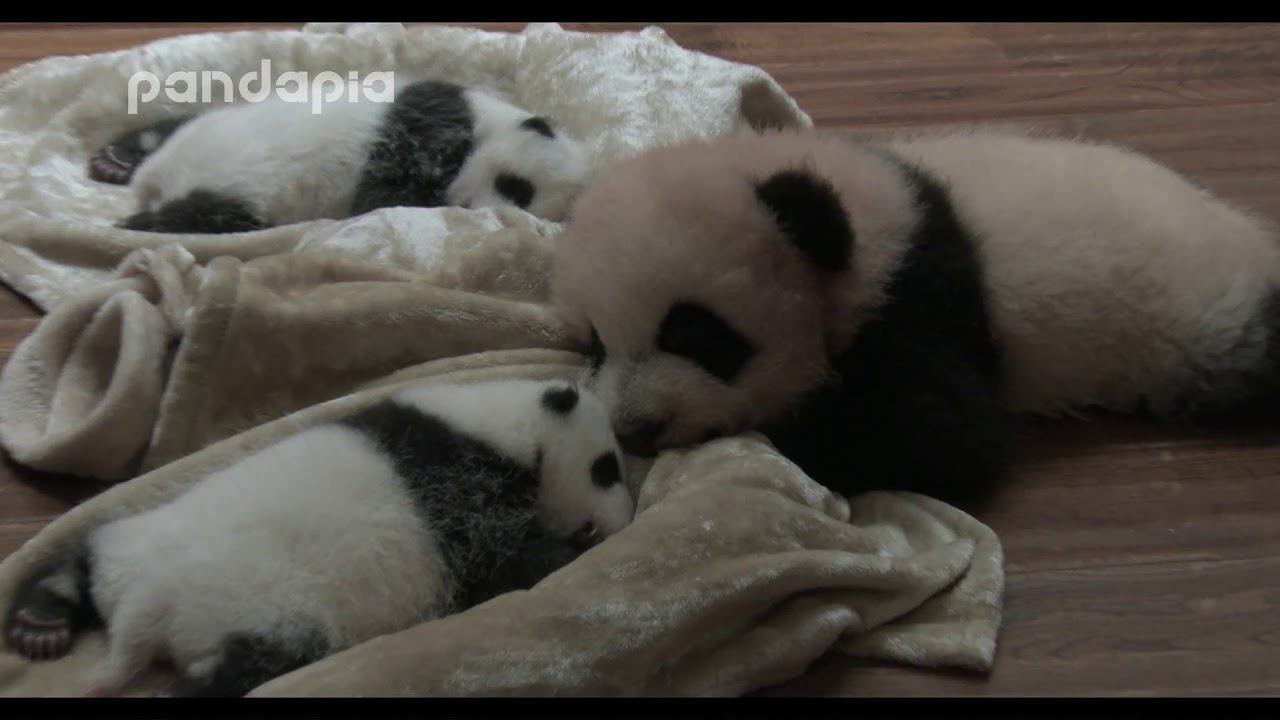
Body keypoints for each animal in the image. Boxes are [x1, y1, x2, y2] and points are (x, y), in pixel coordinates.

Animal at [2, 378, 634, 697]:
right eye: (607, 467)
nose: (625, 516)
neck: (500, 422)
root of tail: (148, 604)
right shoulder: (461, 485)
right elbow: (497, 559)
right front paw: (567, 550)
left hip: (145, 540)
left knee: (89, 553)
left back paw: (42, 621)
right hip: (277, 608)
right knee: (250, 667)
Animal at [90, 79, 592, 233]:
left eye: (524, 203)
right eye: (517, 187)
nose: (475, 209)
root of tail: (156, 181)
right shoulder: (434, 113)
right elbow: (387, 184)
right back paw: (120, 165)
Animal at [549, 126, 1280, 509]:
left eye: (698, 335)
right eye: (597, 343)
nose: (636, 428)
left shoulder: (920, 300)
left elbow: (943, 439)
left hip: (1205, 320)